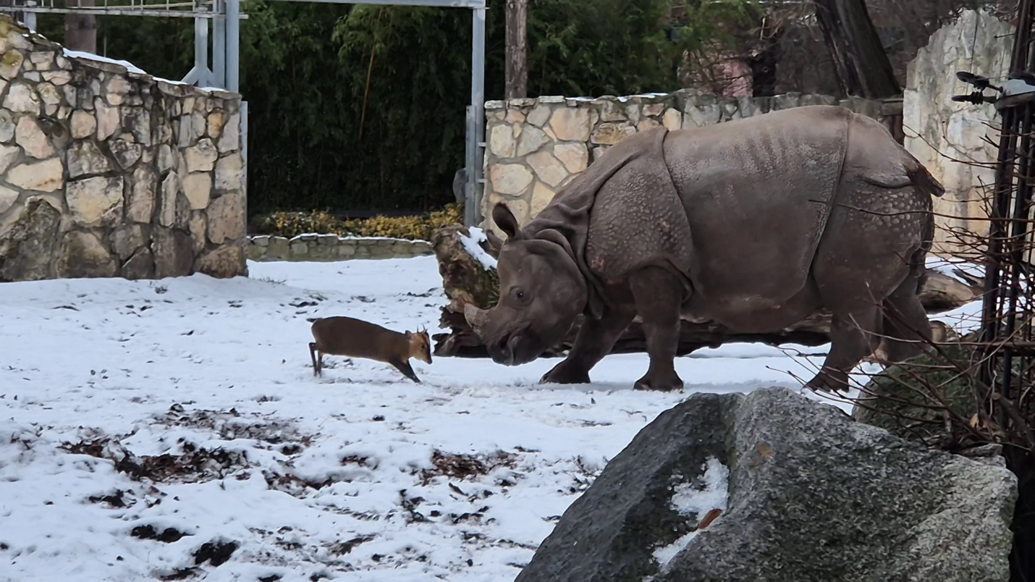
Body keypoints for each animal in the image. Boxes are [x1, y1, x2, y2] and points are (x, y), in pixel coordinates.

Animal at [463, 105, 946, 393]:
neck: (565, 240)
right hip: (890, 200)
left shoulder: (652, 263)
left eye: (519, 294)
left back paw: (820, 389)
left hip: (865, 197)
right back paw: (913, 378)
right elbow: (595, 336)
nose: (498, 352)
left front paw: (654, 388)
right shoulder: (610, 275)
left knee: (852, 295)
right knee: (902, 294)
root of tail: (905, 158)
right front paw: (557, 379)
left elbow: (660, 327)